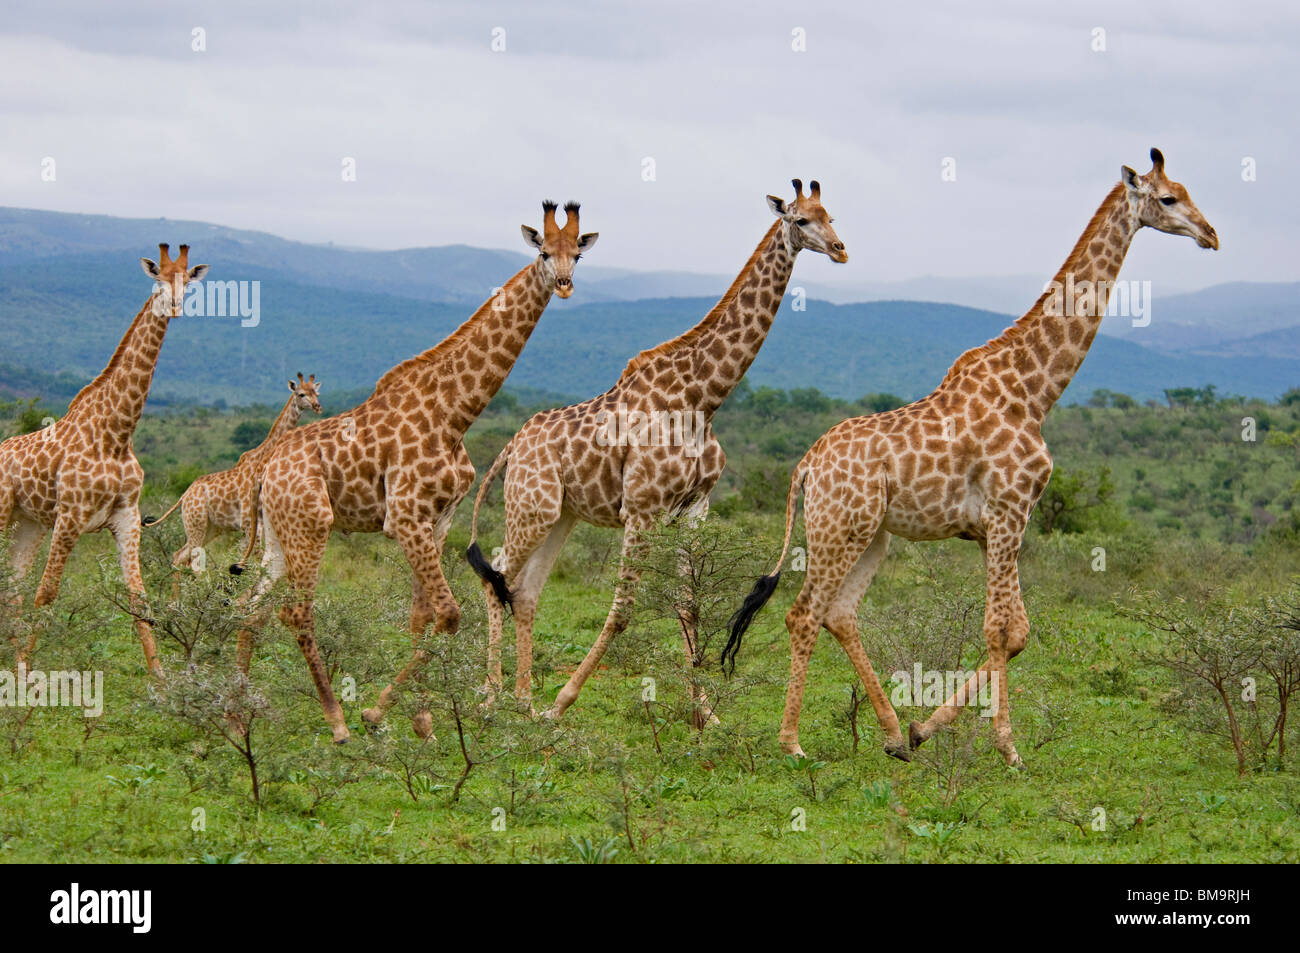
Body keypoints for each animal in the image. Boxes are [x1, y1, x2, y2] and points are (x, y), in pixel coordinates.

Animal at [0, 244, 209, 676]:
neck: (117, 433)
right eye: (158, 280)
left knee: (11, 587)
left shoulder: (127, 516)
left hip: (27, 522)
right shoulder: (69, 516)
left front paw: (161, 680)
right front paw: (29, 674)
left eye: (188, 283)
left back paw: (10, 658)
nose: (175, 306)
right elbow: (47, 592)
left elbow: (139, 599)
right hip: (5, 510)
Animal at [146, 373, 323, 573]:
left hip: (211, 528)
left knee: (179, 556)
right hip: (196, 523)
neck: (262, 458)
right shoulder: (248, 522)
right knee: (191, 560)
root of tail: (184, 496)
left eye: (316, 393)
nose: (317, 406)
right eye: (301, 394)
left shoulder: (258, 523)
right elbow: (254, 559)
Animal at [230, 201, 597, 743]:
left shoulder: (437, 520)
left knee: (249, 609)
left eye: (579, 253)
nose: (567, 284)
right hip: (311, 525)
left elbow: (421, 615)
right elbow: (449, 614)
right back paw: (336, 721)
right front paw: (376, 712)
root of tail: (267, 469)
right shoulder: (404, 518)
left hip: (279, 534)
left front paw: (422, 725)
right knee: (293, 611)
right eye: (544, 252)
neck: (454, 413)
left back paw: (235, 715)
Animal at [467, 180, 847, 725]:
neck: (703, 398)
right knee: (496, 572)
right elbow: (624, 609)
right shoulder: (642, 509)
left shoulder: (693, 508)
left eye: (831, 214)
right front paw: (562, 702)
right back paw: (492, 696)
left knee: (524, 589)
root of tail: (511, 446)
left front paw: (705, 714)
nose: (840, 249)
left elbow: (689, 604)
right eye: (800, 220)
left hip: (560, 514)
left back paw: (522, 699)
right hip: (529, 506)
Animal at [722, 149, 1218, 765]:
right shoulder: (1009, 513)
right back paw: (792, 743)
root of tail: (804, 468)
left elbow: (1019, 631)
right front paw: (1007, 748)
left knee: (839, 613)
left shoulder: (999, 526)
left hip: (872, 535)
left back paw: (893, 735)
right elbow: (1000, 630)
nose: (1211, 234)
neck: (1035, 391)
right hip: (839, 530)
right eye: (1169, 199)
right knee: (803, 613)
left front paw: (925, 729)